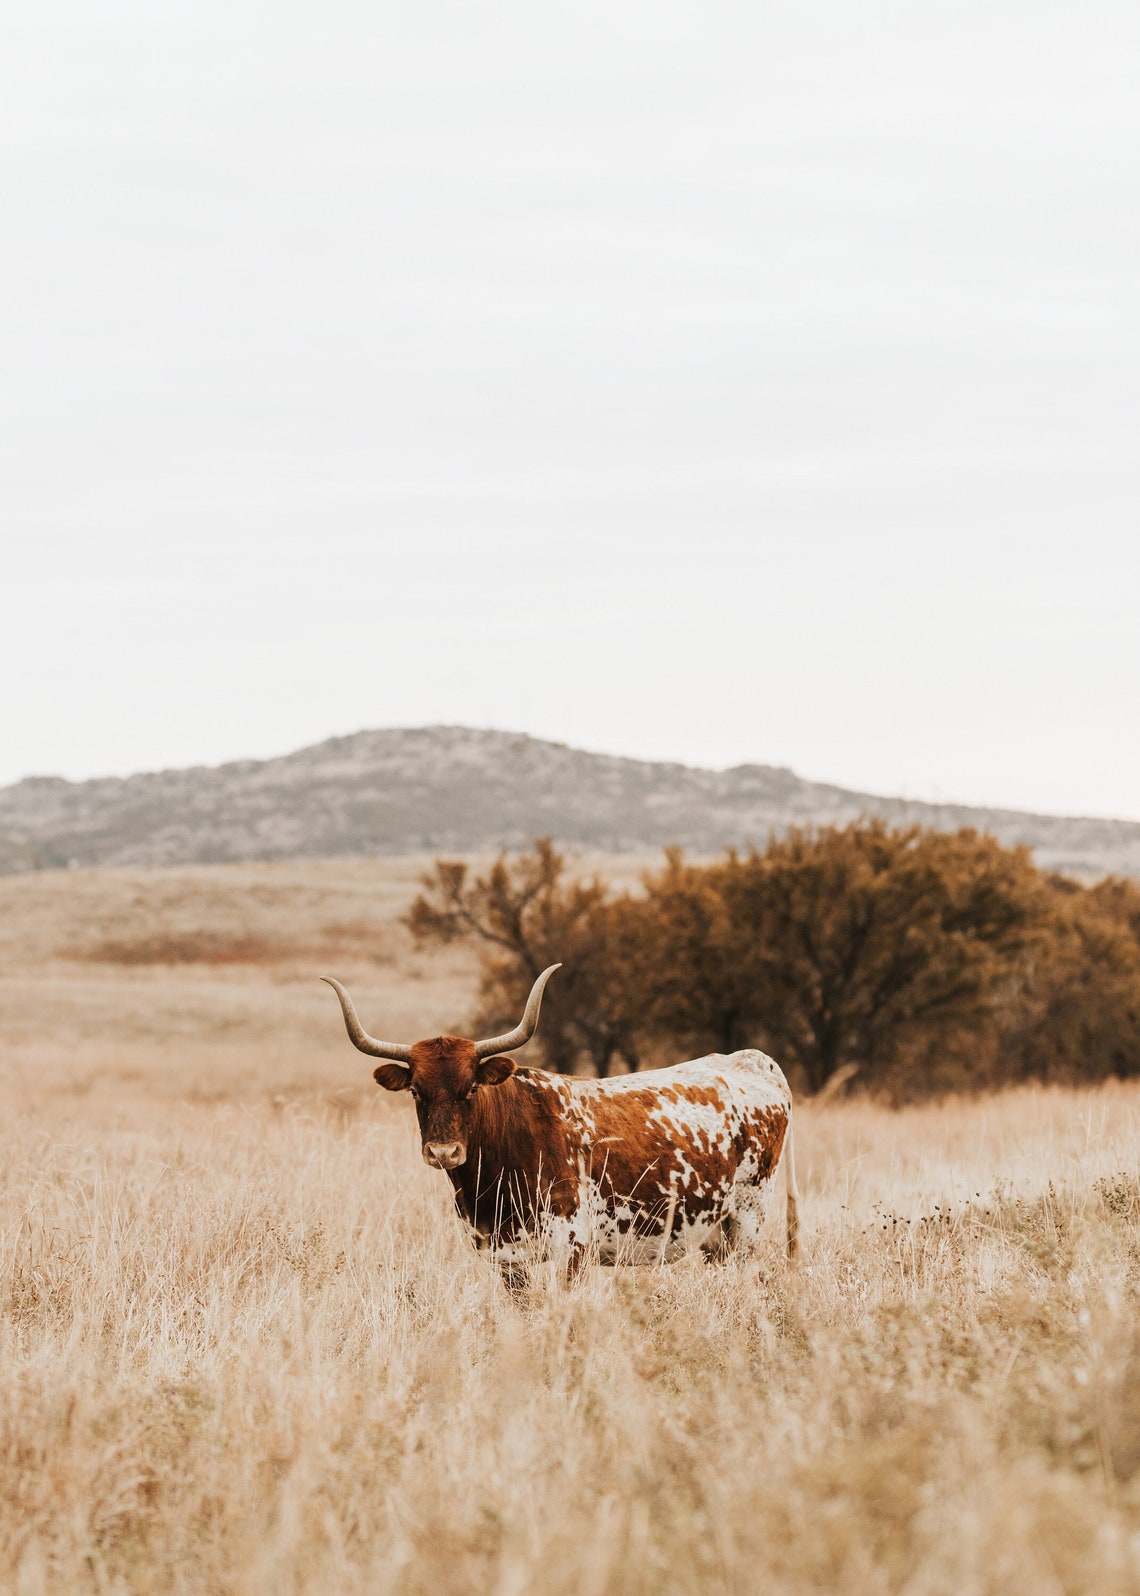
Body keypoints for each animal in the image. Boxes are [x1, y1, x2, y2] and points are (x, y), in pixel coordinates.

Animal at [323, 963, 799, 1280]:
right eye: (416, 1092)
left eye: (471, 1089)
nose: (443, 1152)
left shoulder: (572, 1250)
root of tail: (753, 1059)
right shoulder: (505, 1259)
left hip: (748, 1223)